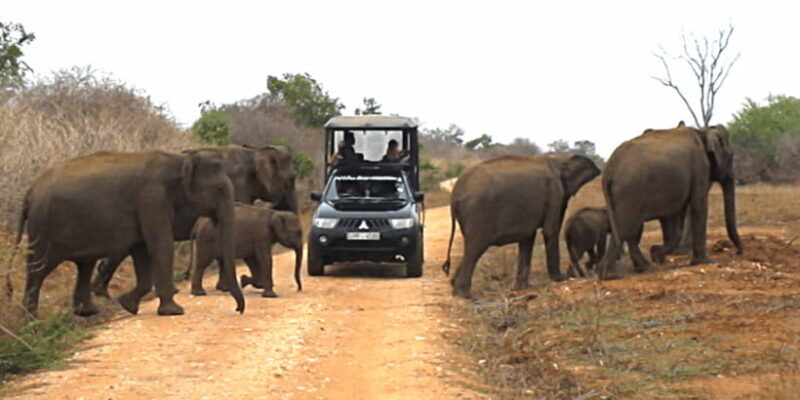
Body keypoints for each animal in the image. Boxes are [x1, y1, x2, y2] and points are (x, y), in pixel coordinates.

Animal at [16, 150, 244, 317]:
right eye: (220, 188)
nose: (238, 310)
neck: (180, 160)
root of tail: (29, 192)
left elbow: (141, 249)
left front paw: (127, 305)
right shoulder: (152, 199)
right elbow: (161, 245)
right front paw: (174, 312)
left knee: (85, 265)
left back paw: (87, 313)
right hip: (43, 228)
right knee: (39, 269)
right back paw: (32, 320)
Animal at [441, 154, 601, 299]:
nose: (578, 276)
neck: (559, 159)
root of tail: (454, 195)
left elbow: (527, 238)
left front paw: (522, 289)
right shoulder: (554, 193)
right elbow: (550, 231)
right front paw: (560, 279)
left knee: (471, 248)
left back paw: (455, 288)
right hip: (477, 212)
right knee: (475, 247)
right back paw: (465, 296)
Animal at [598, 123, 744, 279]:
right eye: (731, 156)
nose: (739, 252)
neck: (702, 132)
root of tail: (608, 171)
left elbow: (671, 218)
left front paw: (656, 254)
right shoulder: (700, 167)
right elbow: (699, 205)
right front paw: (705, 262)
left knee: (628, 229)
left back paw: (640, 268)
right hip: (629, 192)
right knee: (625, 228)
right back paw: (611, 275)